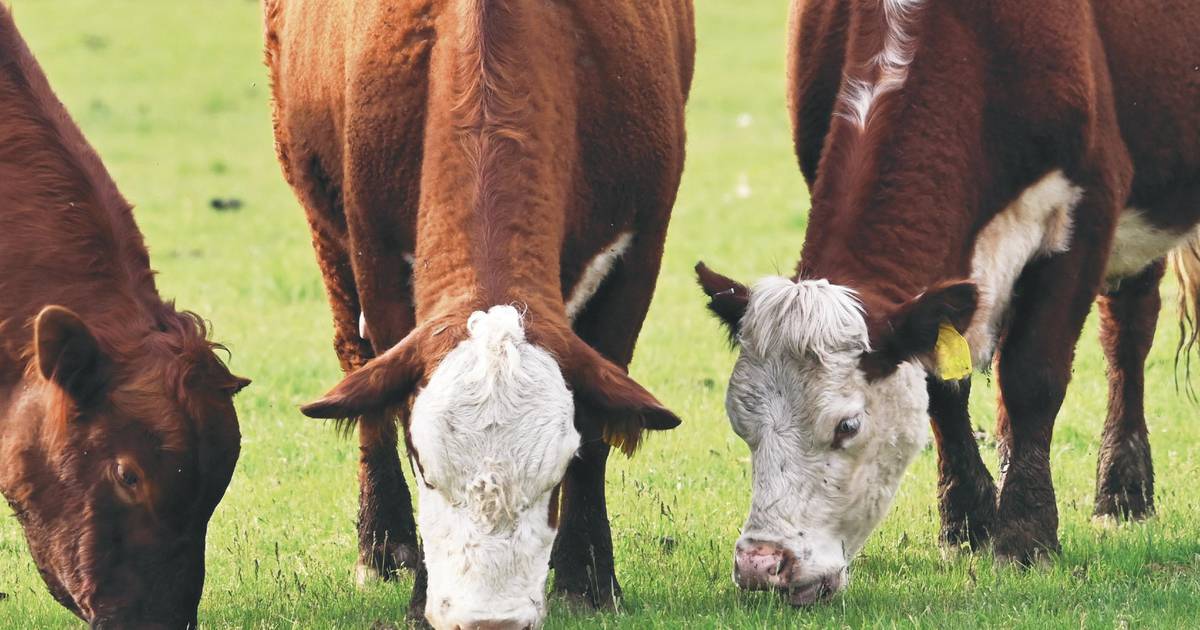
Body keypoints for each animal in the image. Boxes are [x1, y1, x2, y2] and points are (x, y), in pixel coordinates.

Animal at [264, 0, 694, 626]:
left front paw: (587, 578)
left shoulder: (640, 246)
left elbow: (598, 426)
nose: (489, 618)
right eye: (424, 463)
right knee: (357, 366)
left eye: (557, 469)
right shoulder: (377, 256)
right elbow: (390, 398)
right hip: (323, 221)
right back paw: (382, 546)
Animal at [696, 0, 1200, 606]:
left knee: (1126, 331)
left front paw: (1025, 535)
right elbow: (943, 387)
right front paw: (968, 521)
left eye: (847, 425)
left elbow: (1033, 376)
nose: (761, 565)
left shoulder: (1091, 205)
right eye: (740, 422)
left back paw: (1122, 490)